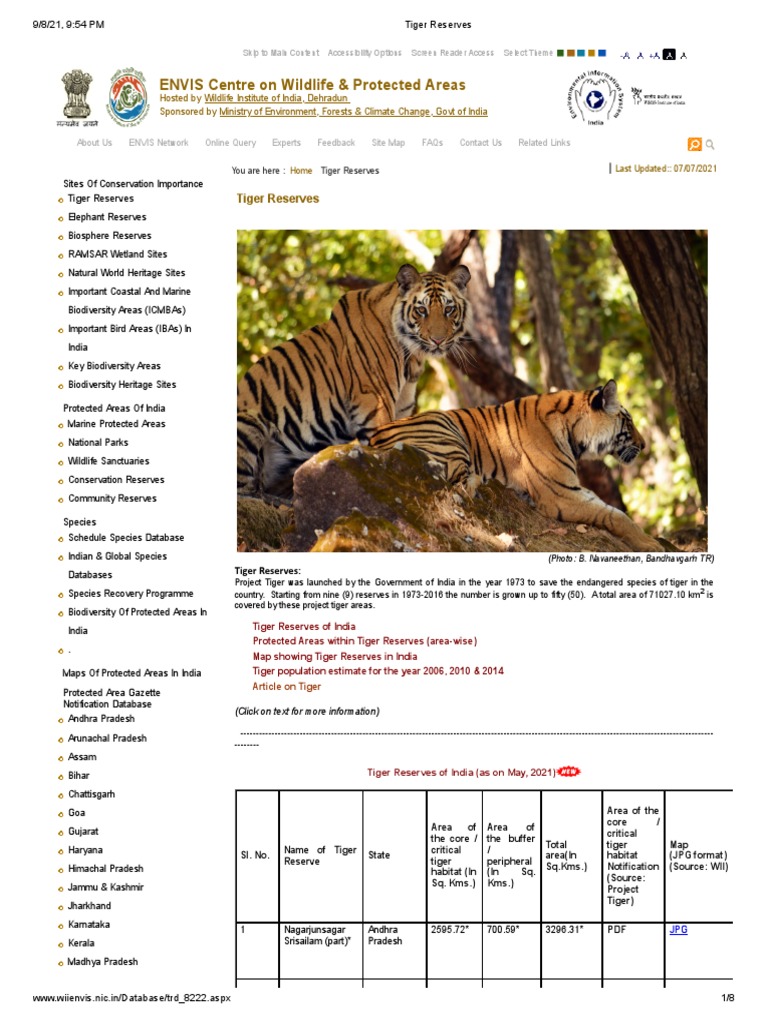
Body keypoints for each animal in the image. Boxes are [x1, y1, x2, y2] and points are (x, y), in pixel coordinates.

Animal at [237, 263, 472, 500]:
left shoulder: (402, 412)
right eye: (421, 310)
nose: (438, 340)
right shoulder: (376, 405)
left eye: (449, 309)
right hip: (249, 422)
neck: (412, 358)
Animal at [368, 380, 664, 552]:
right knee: (459, 482)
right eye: (628, 422)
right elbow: (616, 515)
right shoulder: (562, 494)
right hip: (445, 430)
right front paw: (651, 544)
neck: (574, 432)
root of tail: (373, 438)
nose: (645, 445)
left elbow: (611, 510)